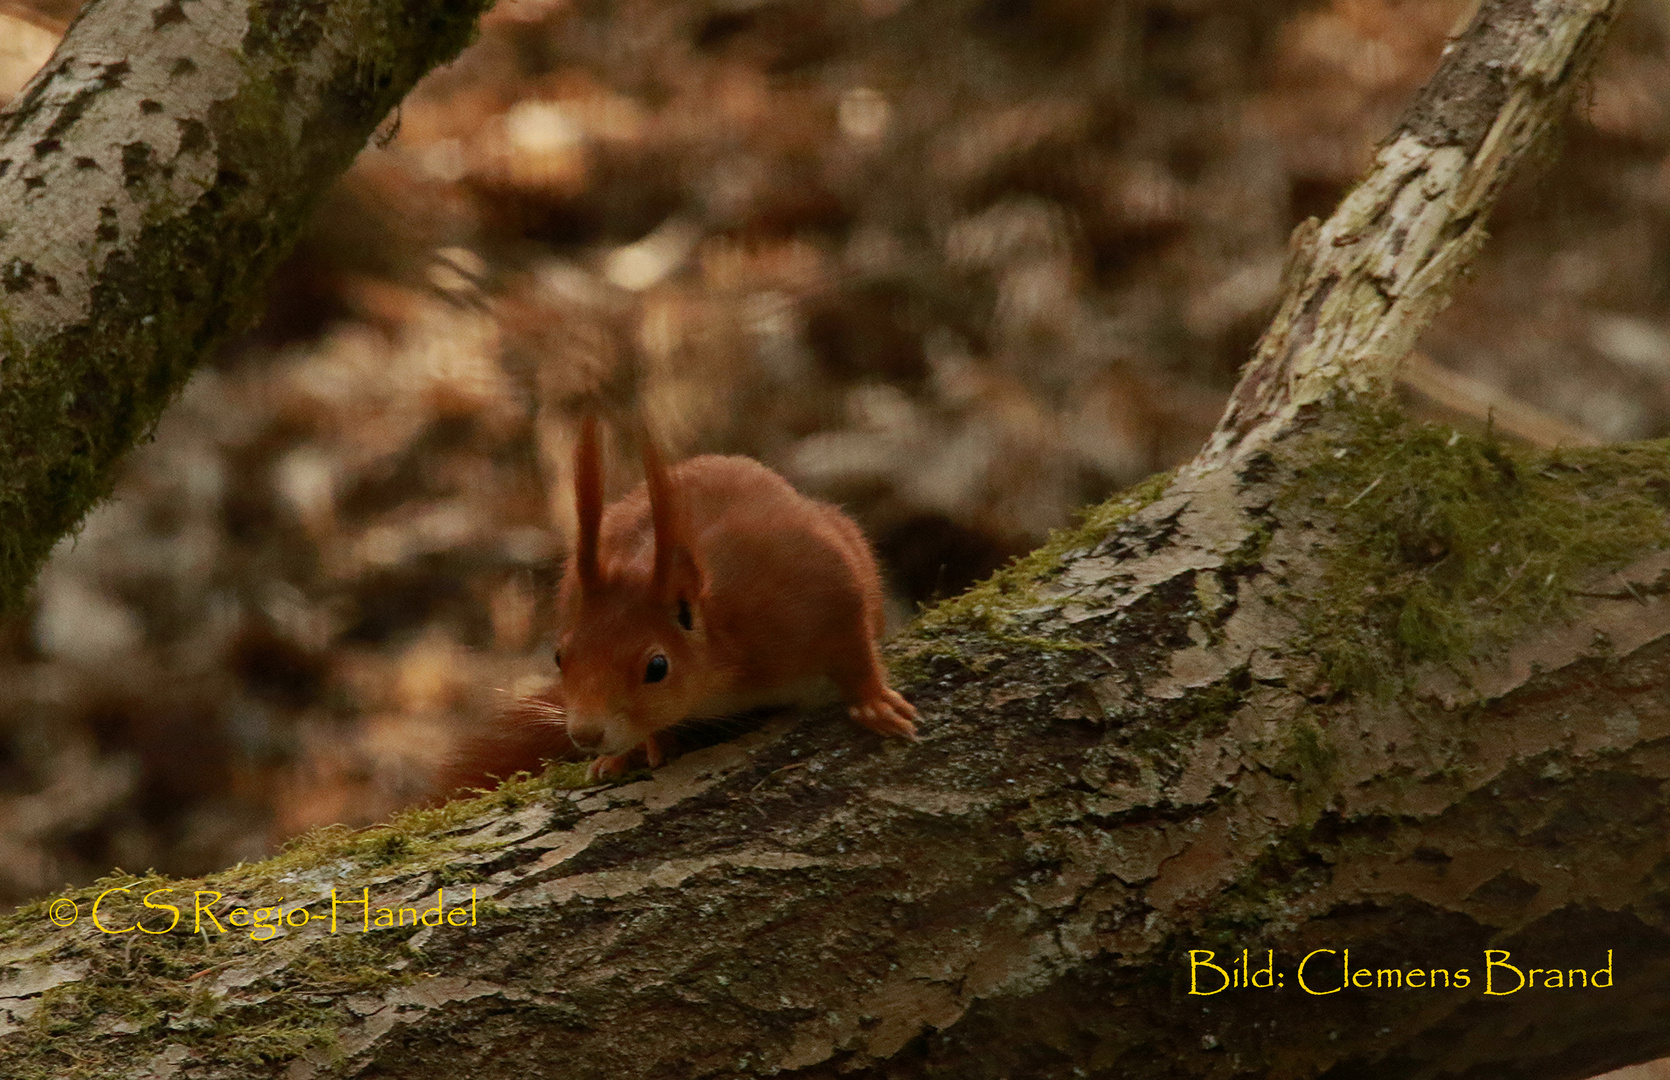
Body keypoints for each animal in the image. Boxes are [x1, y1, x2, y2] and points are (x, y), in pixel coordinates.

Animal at [437, 415, 921, 794]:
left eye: (657, 667)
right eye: (559, 656)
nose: (586, 734)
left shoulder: (819, 588)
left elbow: (853, 645)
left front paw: (875, 702)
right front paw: (640, 746)